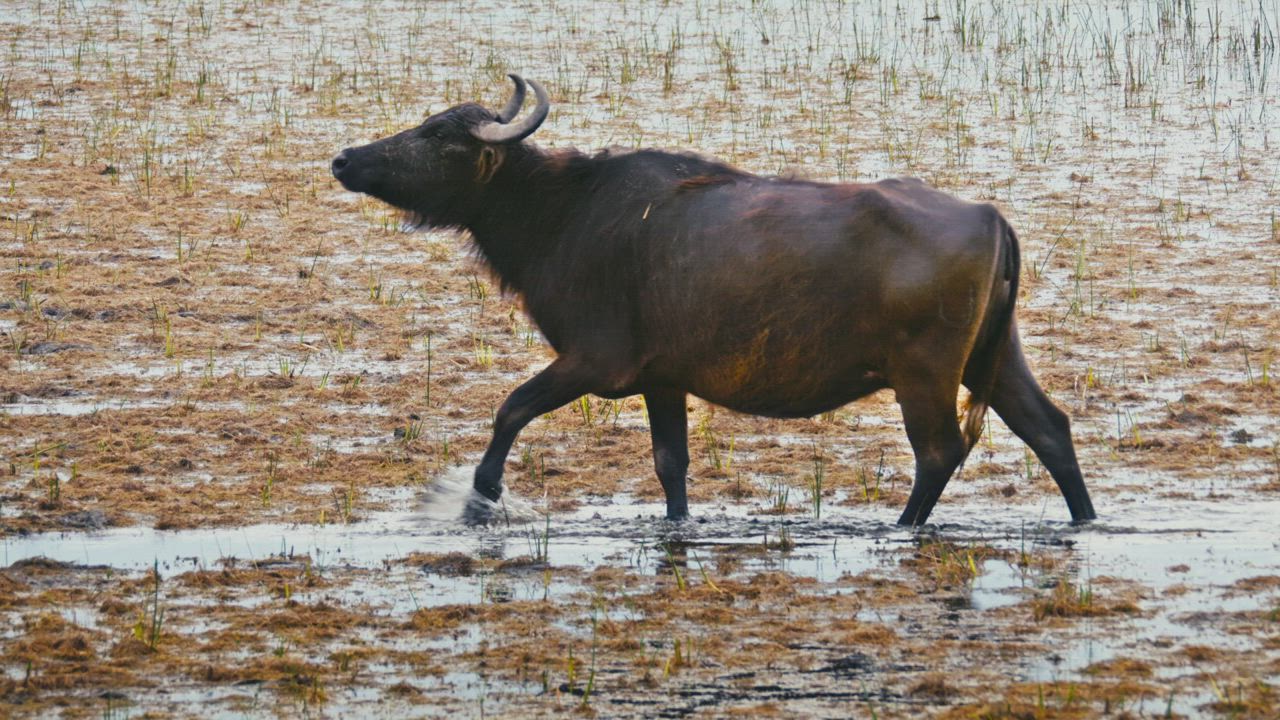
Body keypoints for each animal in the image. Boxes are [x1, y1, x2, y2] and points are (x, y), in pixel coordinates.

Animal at [331, 74, 1096, 526]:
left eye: (438, 134)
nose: (343, 158)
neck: (565, 212)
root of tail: (987, 215)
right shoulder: (662, 380)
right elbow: (671, 464)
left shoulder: (594, 361)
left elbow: (511, 408)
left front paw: (481, 495)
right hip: (996, 359)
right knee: (1050, 429)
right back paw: (1084, 517)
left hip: (926, 373)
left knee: (939, 452)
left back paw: (903, 526)